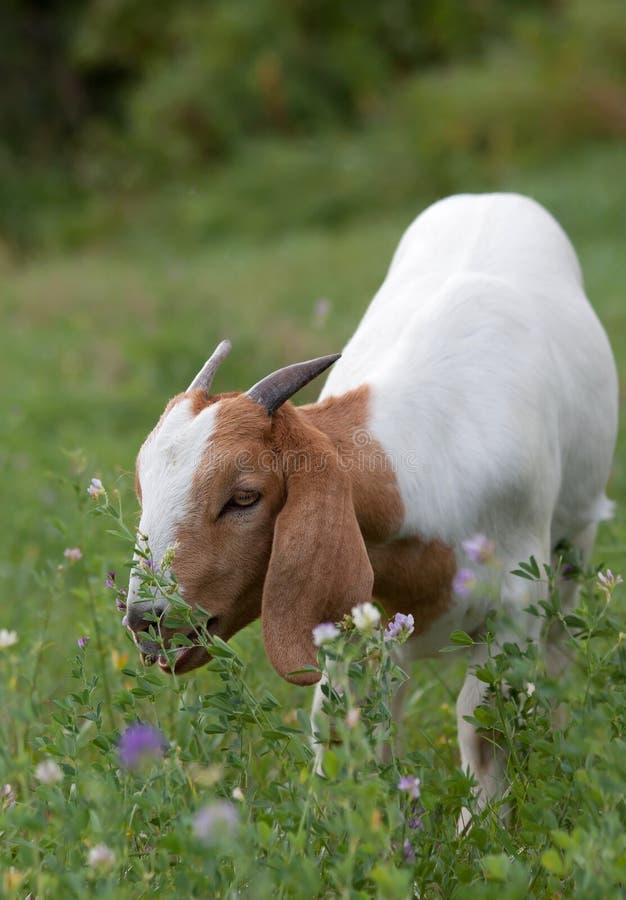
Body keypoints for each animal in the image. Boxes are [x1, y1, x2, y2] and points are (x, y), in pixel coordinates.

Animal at [125, 192, 618, 821]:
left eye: (243, 497)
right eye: (142, 489)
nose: (146, 619)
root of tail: (493, 197)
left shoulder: (517, 604)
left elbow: (481, 728)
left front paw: (479, 829)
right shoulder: (351, 615)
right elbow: (341, 722)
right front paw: (349, 823)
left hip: (572, 546)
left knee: (556, 654)